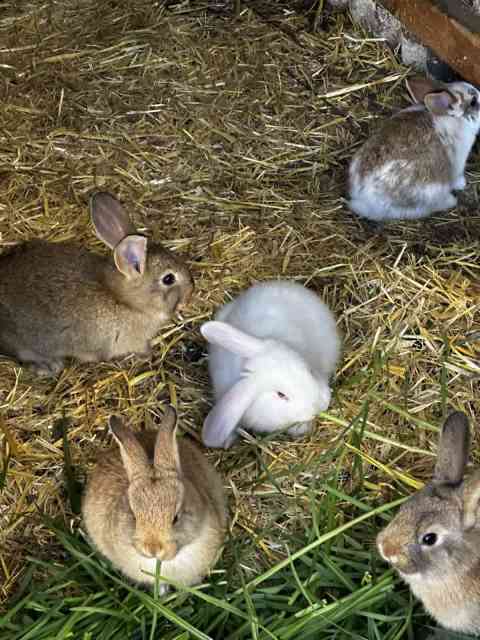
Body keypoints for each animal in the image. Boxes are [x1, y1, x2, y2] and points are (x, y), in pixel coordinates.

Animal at [348, 77, 480, 221]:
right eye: (473, 101)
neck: (453, 120)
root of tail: (364, 201)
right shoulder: (458, 163)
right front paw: (462, 184)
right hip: (429, 193)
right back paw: (451, 200)